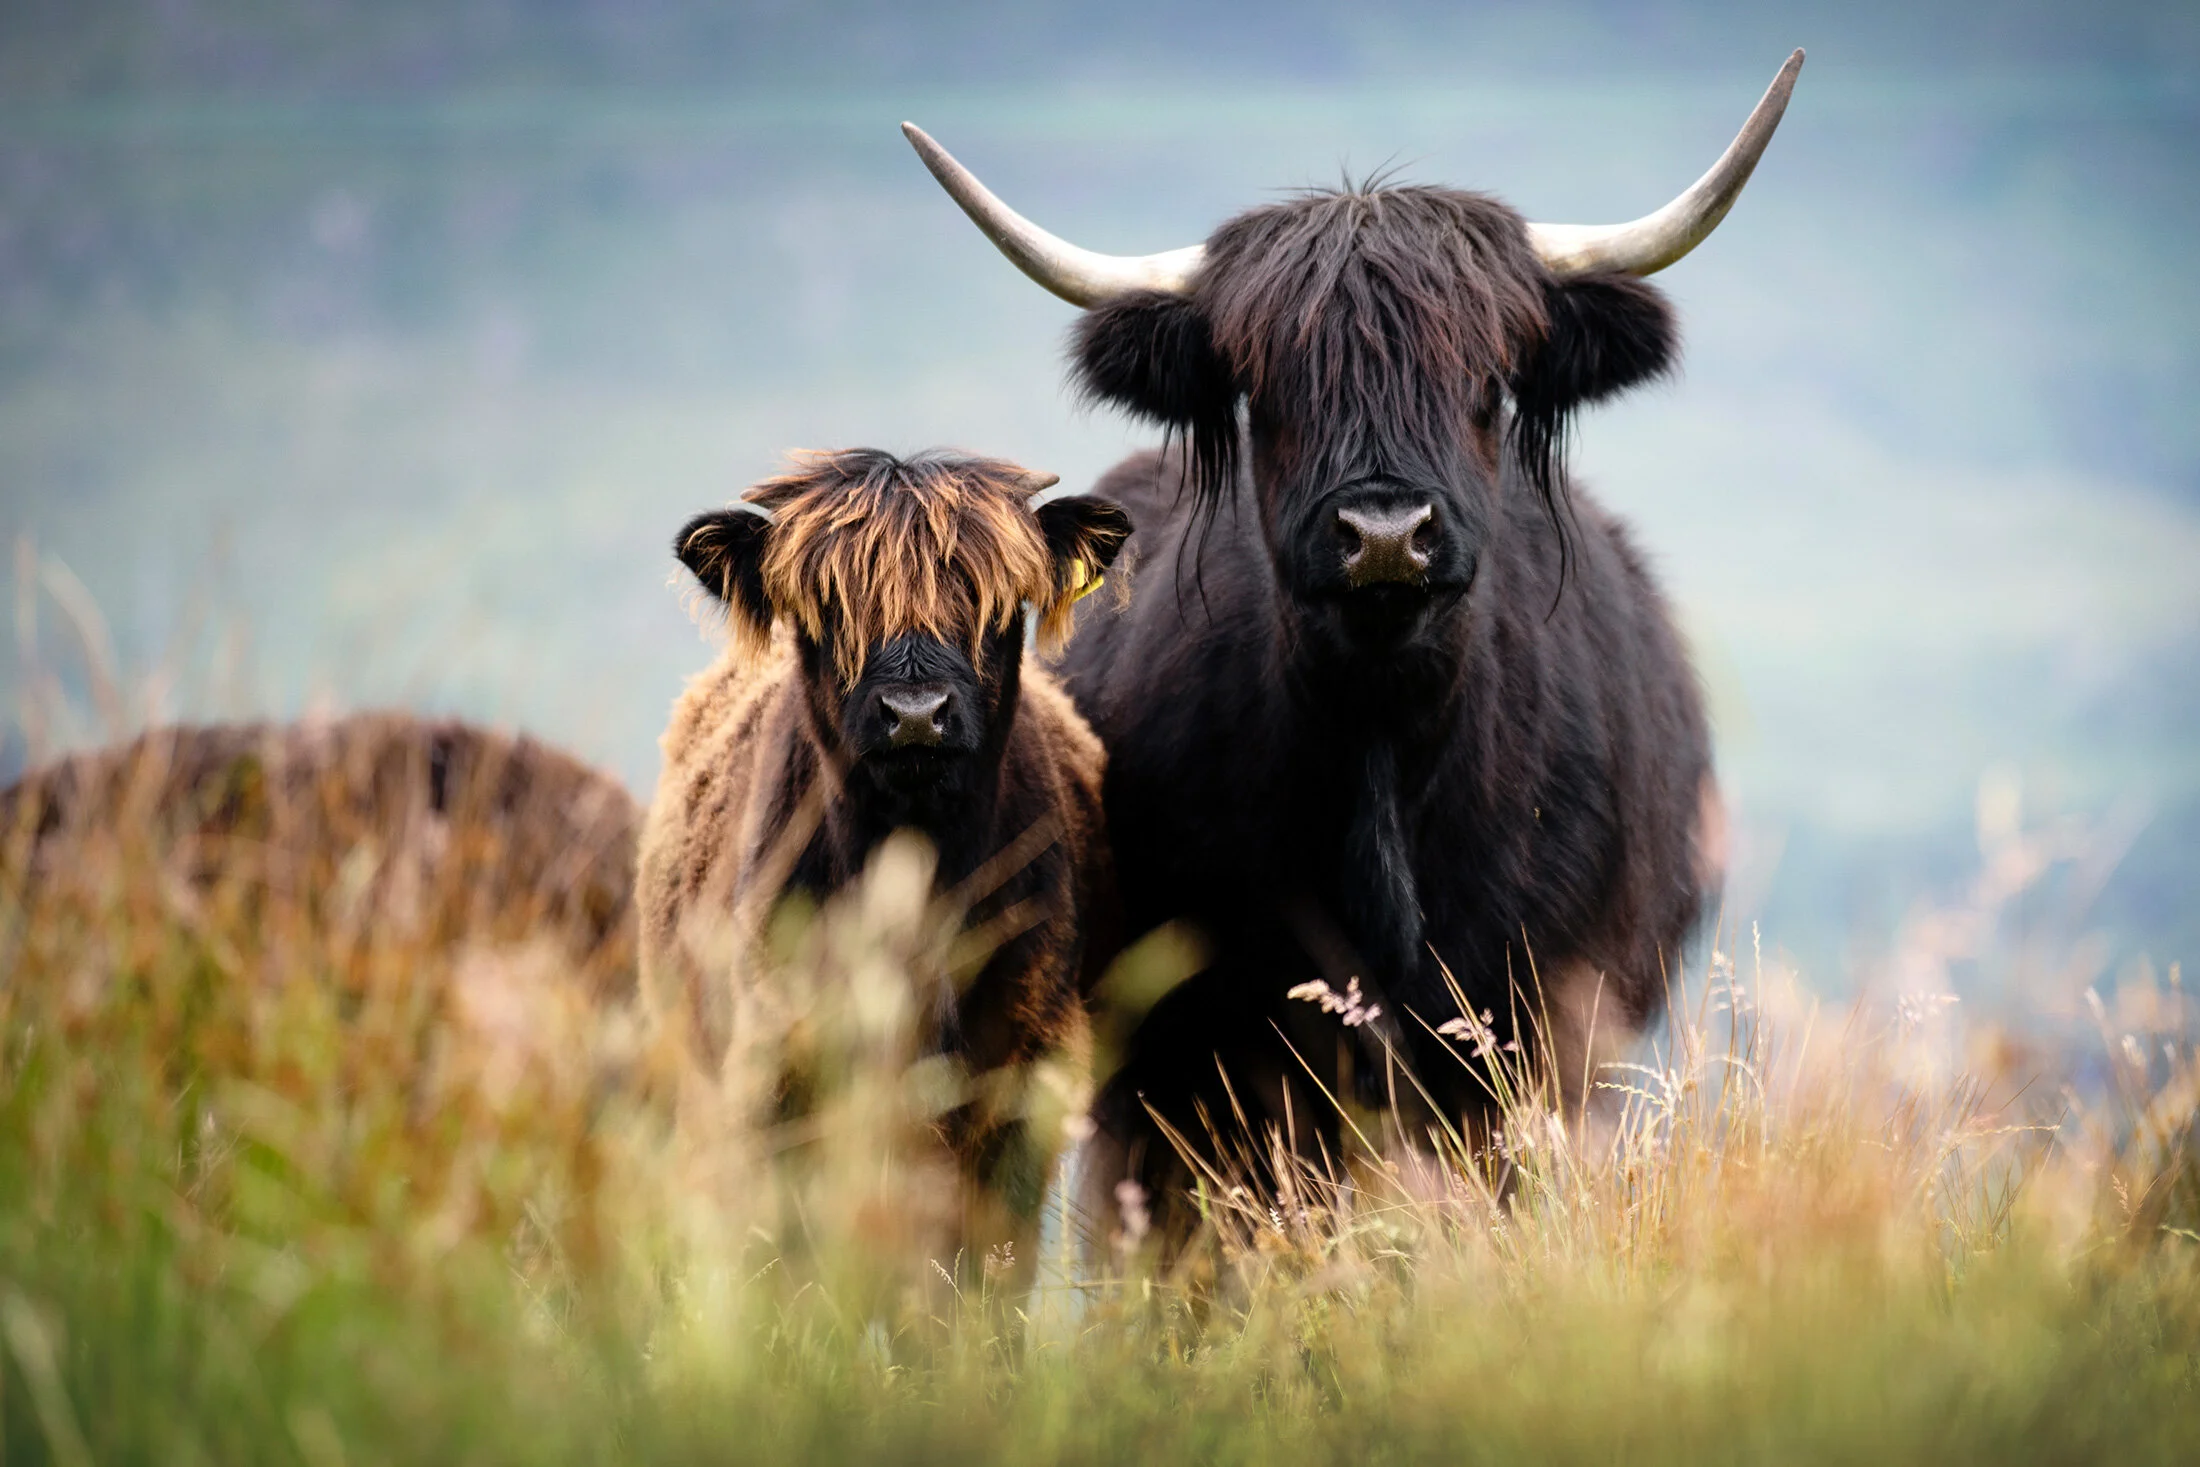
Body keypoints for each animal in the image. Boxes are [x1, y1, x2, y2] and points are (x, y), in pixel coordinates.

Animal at [904, 52, 1801, 1246]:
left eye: (1485, 384)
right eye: (1267, 392)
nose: (1383, 533)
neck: (1385, 762)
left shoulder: (1538, 1035)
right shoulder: (1217, 1055)